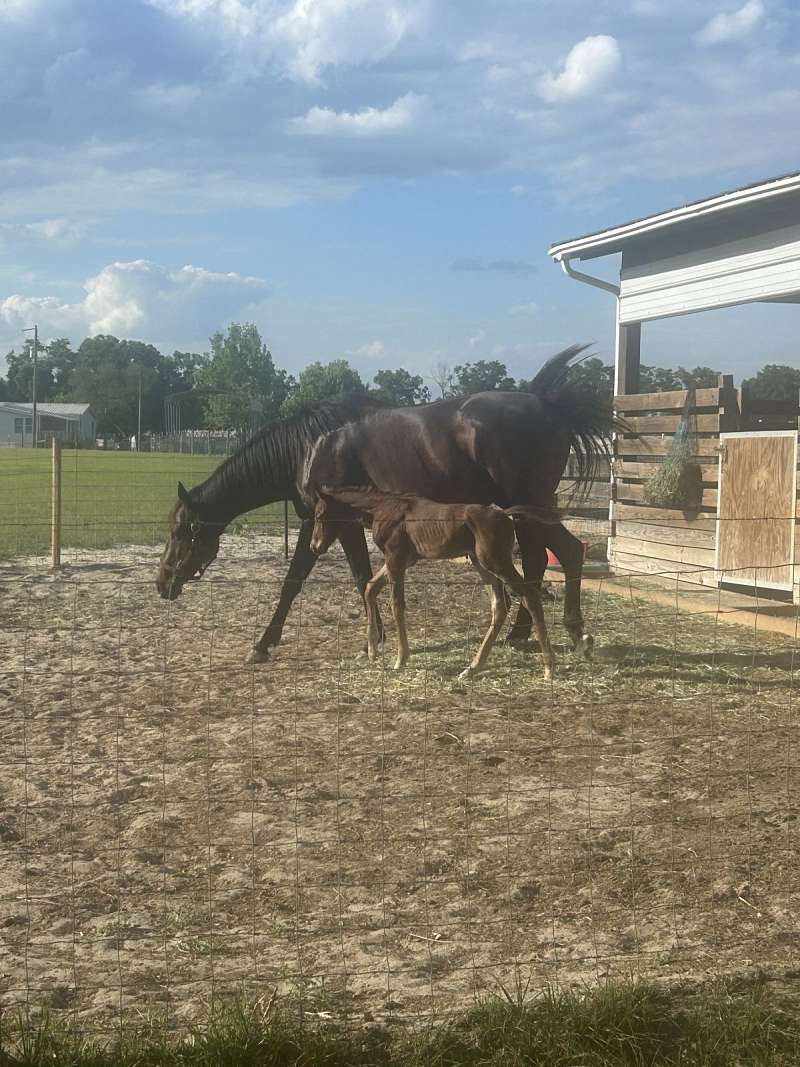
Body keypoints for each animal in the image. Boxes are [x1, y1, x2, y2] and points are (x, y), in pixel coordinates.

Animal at [311, 486, 558, 680]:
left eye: (319, 515)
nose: (315, 546)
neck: (383, 508)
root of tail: (505, 515)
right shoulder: (402, 560)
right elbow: (371, 588)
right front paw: (372, 651)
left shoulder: (395, 558)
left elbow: (396, 605)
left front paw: (400, 660)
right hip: (481, 563)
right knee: (500, 604)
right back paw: (472, 668)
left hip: (496, 562)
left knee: (529, 595)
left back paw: (549, 667)